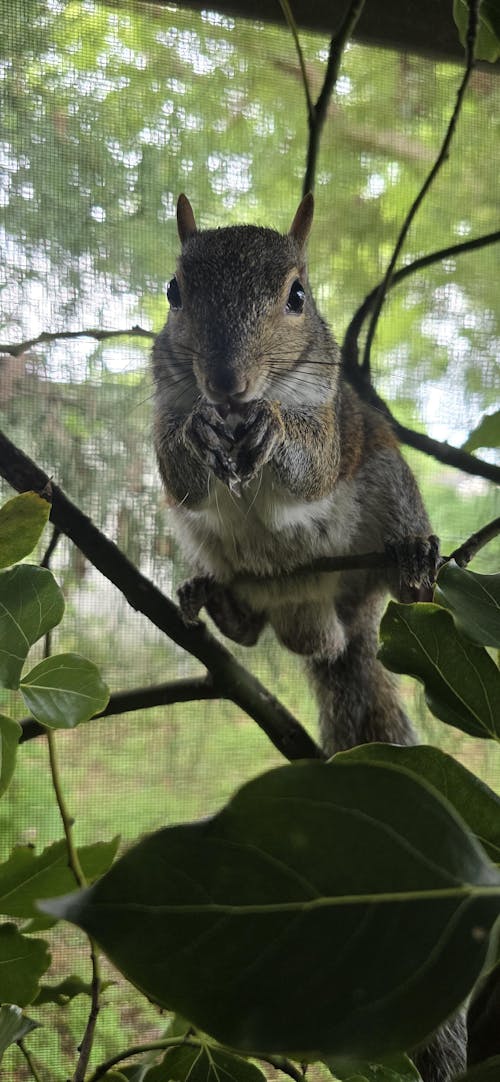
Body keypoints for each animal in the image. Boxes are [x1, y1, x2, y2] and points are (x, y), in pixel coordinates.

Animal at [152, 193, 466, 1082]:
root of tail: (325, 625)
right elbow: (178, 464)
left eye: (298, 296)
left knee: (389, 581)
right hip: (201, 543)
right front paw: (199, 436)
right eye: (173, 292)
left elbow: (309, 458)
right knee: (253, 617)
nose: (228, 384)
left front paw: (269, 431)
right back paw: (217, 603)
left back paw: (409, 564)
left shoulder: (328, 413)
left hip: (385, 484)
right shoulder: (164, 420)